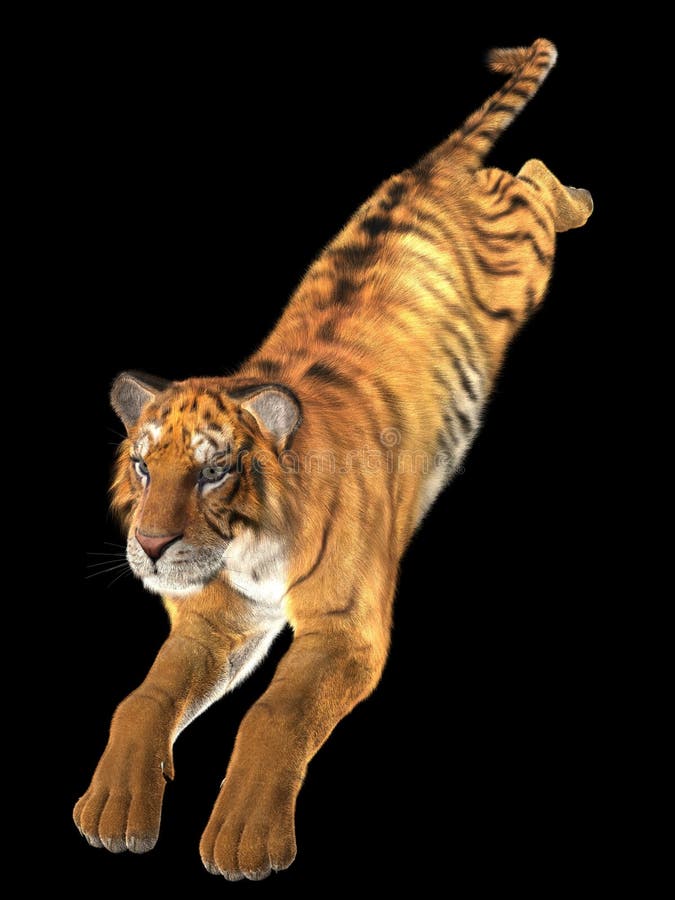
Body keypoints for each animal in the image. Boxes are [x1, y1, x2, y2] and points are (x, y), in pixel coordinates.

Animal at [73, 38, 592, 881]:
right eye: (145, 469)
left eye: (214, 470)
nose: (149, 547)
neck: (246, 551)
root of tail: (427, 173)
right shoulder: (216, 620)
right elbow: (143, 699)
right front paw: (112, 808)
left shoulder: (345, 627)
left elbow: (276, 714)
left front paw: (243, 840)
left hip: (525, 250)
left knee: (533, 181)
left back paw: (573, 192)